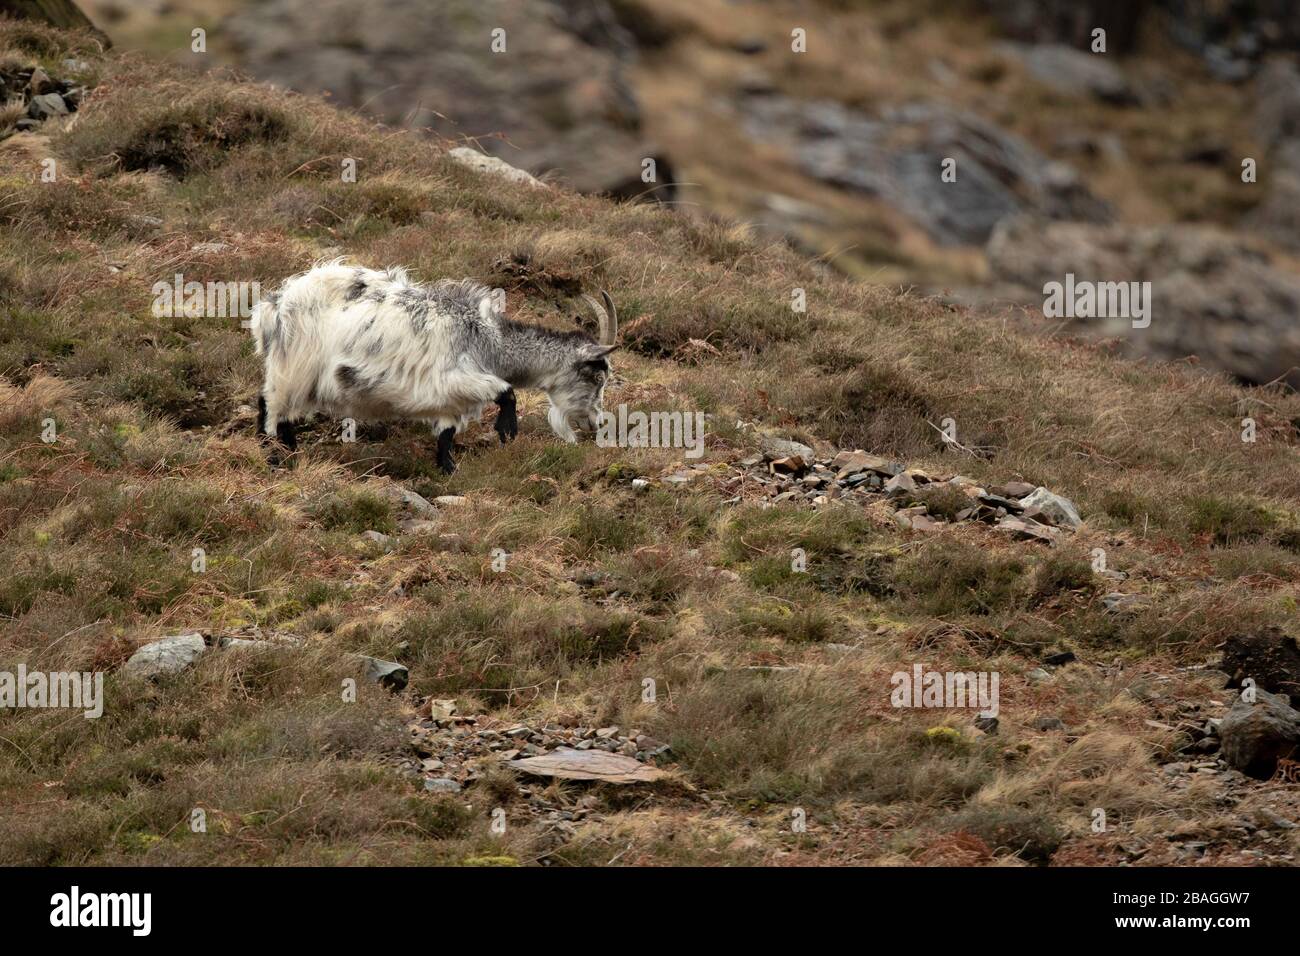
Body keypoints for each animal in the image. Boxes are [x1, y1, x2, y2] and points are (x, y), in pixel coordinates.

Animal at [249, 261, 617, 472]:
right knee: (270, 407)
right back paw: (276, 459)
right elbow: (506, 390)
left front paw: (448, 470)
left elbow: (446, 435)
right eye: (596, 375)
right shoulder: (452, 379)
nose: (597, 423)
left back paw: (290, 455)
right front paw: (507, 430)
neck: (488, 341)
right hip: (293, 366)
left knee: (280, 412)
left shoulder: (448, 402)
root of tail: (274, 306)